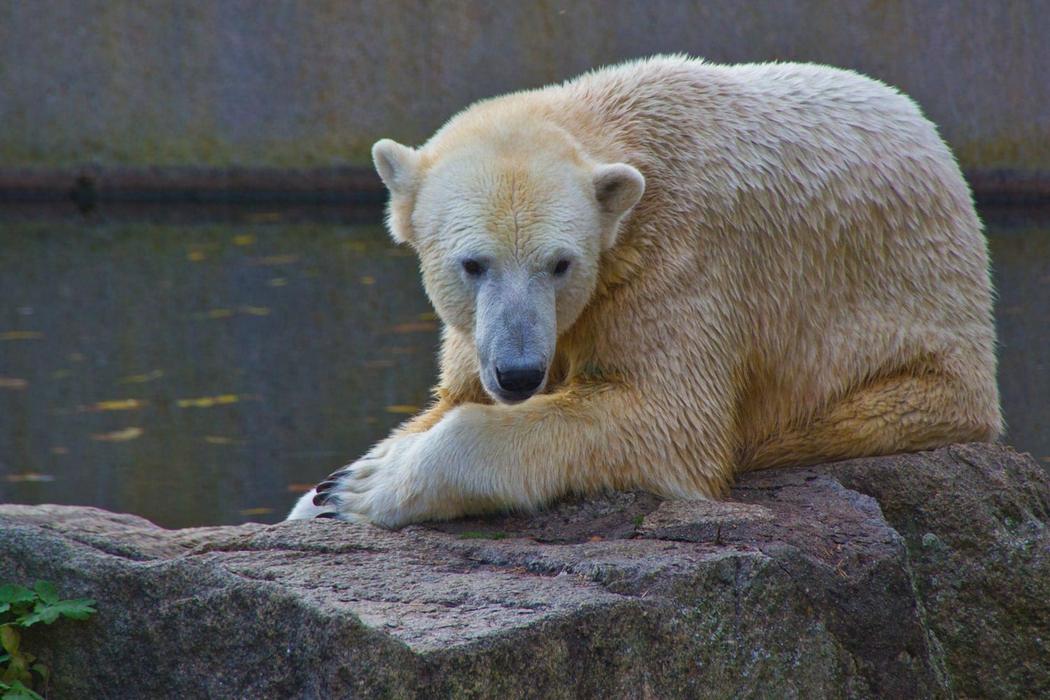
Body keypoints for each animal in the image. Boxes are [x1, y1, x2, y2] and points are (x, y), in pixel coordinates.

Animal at [288, 55, 1001, 527]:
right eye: (473, 264)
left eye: (560, 263)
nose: (519, 372)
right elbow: (453, 393)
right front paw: (321, 493)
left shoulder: (686, 261)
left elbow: (667, 419)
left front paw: (363, 487)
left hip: (913, 349)